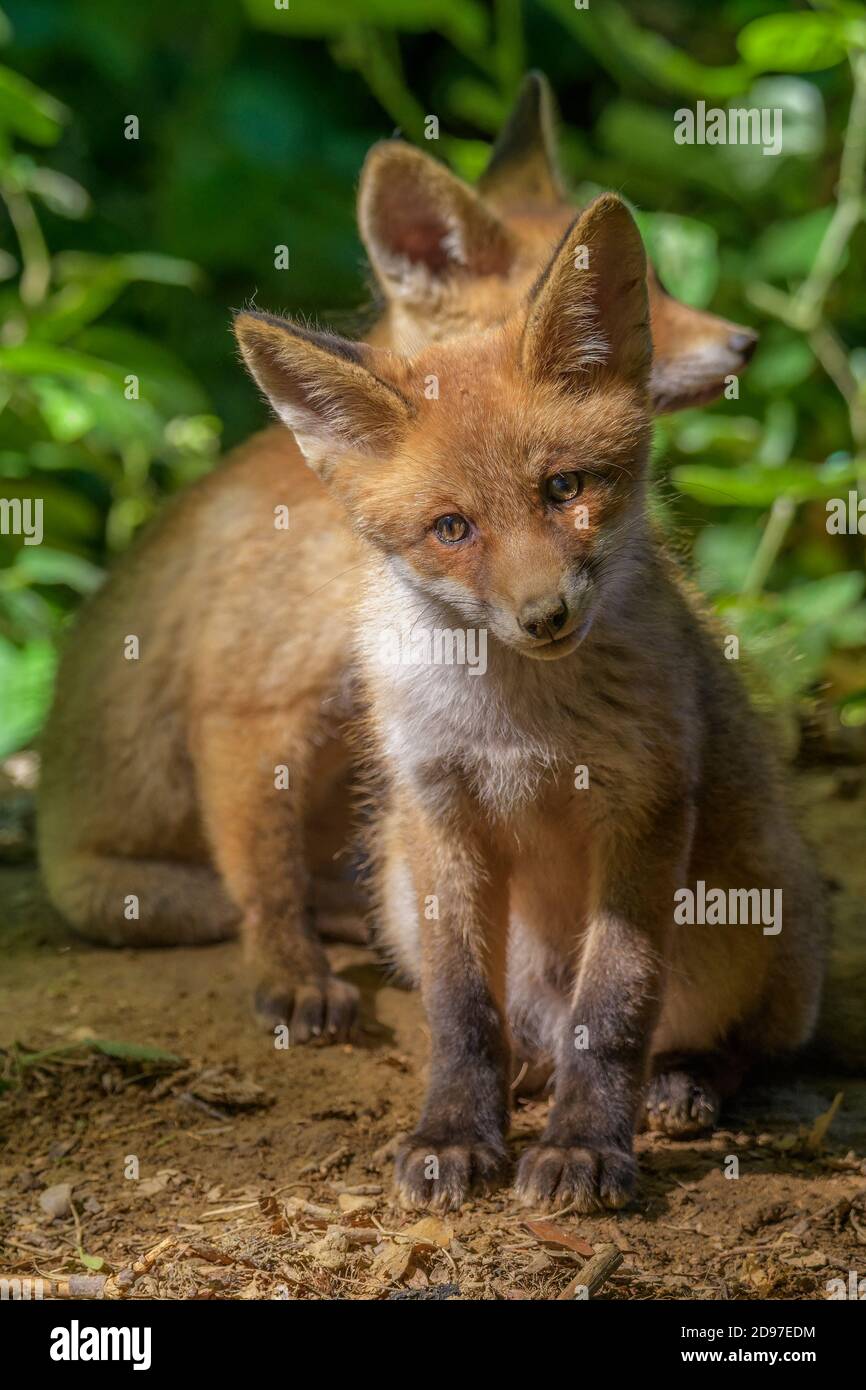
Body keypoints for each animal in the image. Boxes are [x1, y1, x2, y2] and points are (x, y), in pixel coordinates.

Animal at [37, 75, 759, 1041]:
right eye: (642, 286)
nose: (747, 341)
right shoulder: (250, 700)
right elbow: (266, 879)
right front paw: (291, 973)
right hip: (126, 891)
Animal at [233, 192, 826, 1212]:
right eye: (451, 528)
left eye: (564, 488)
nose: (545, 615)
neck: (518, 724)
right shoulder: (441, 811)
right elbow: (461, 1012)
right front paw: (454, 1133)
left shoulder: (644, 807)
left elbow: (616, 1008)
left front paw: (587, 1147)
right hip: (397, 888)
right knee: (524, 1028)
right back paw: (529, 1073)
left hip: (750, 911)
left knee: (736, 1040)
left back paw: (682, 1084)